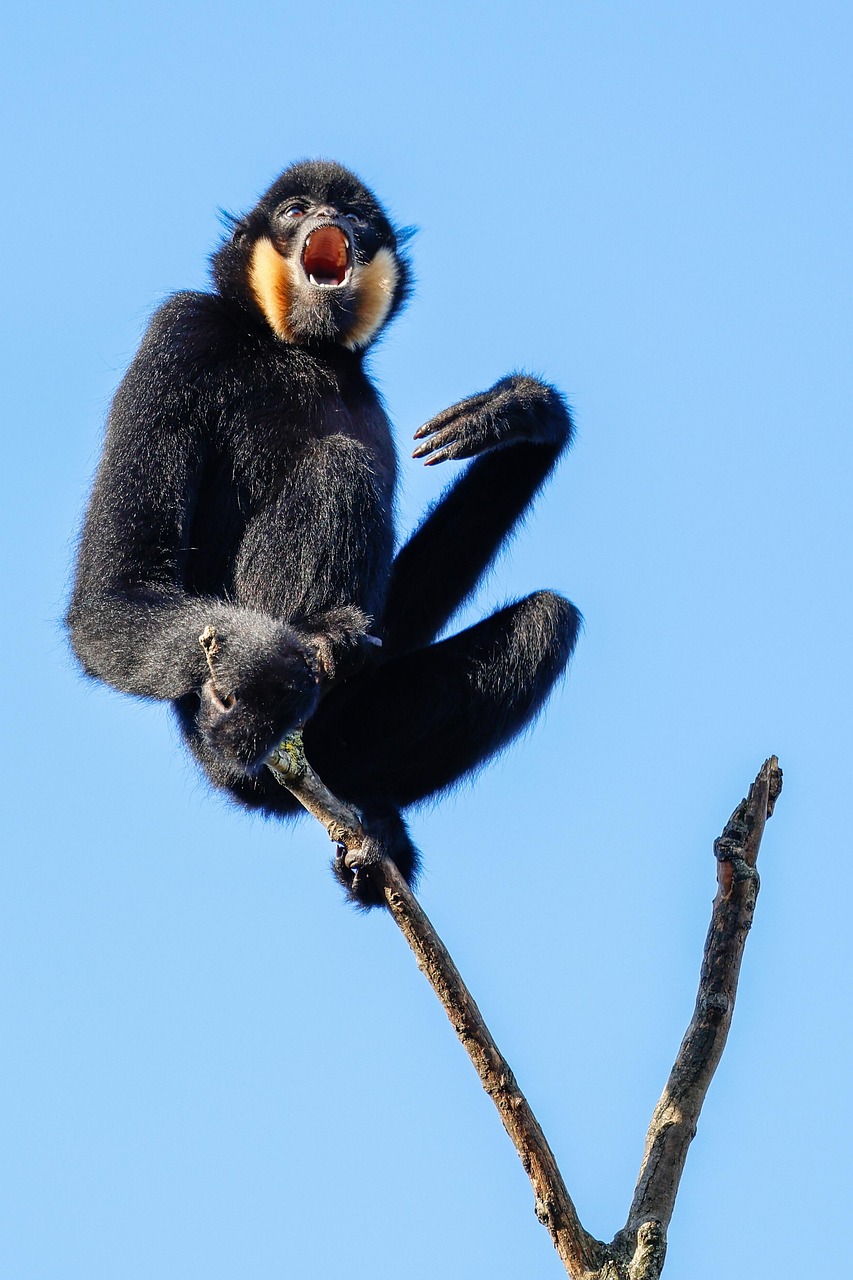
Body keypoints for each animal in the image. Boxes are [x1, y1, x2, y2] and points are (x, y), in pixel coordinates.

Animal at [66, 160, 581, 906]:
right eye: (295, 209)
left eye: (355, 215)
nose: (325, 222)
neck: (295, 349)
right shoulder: (181, 330)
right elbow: (113, 595)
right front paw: (270, 672)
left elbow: (399, 623)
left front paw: (521, 413)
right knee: (341, 462)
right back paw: (269, 706)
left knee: (549, 619)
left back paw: (372, 817)